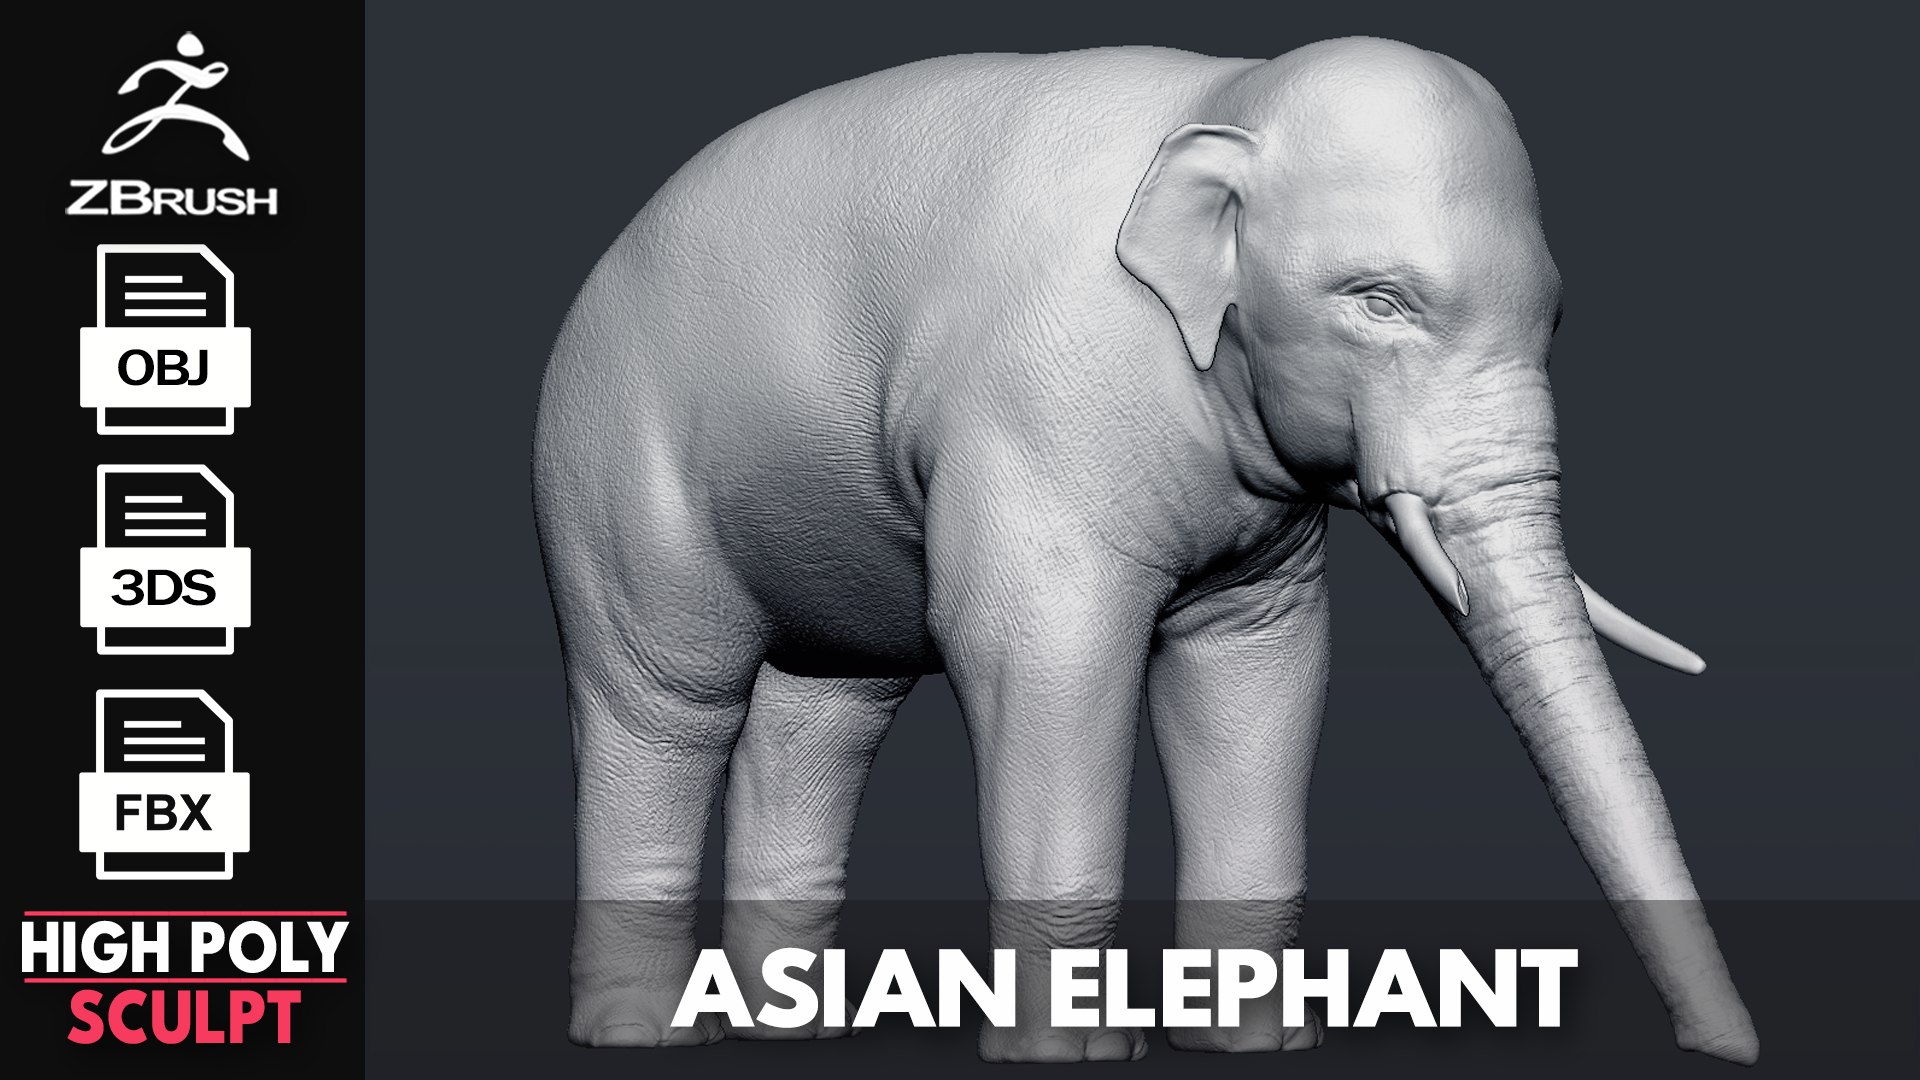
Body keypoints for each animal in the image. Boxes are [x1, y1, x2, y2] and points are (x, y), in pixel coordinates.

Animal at [532, 36, 1757, 1065]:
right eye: (1380, 302)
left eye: (1556, 319)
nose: (1721, 1048)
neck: (1224, 98)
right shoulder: (1036, 410)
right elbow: (1044, 657)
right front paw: (1071, 1053)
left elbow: (1262, 666)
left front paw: (1257, 1043)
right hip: (617, 468)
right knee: (668, 698)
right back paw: (647, 1031)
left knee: (822, 715)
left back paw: (800, 1029)